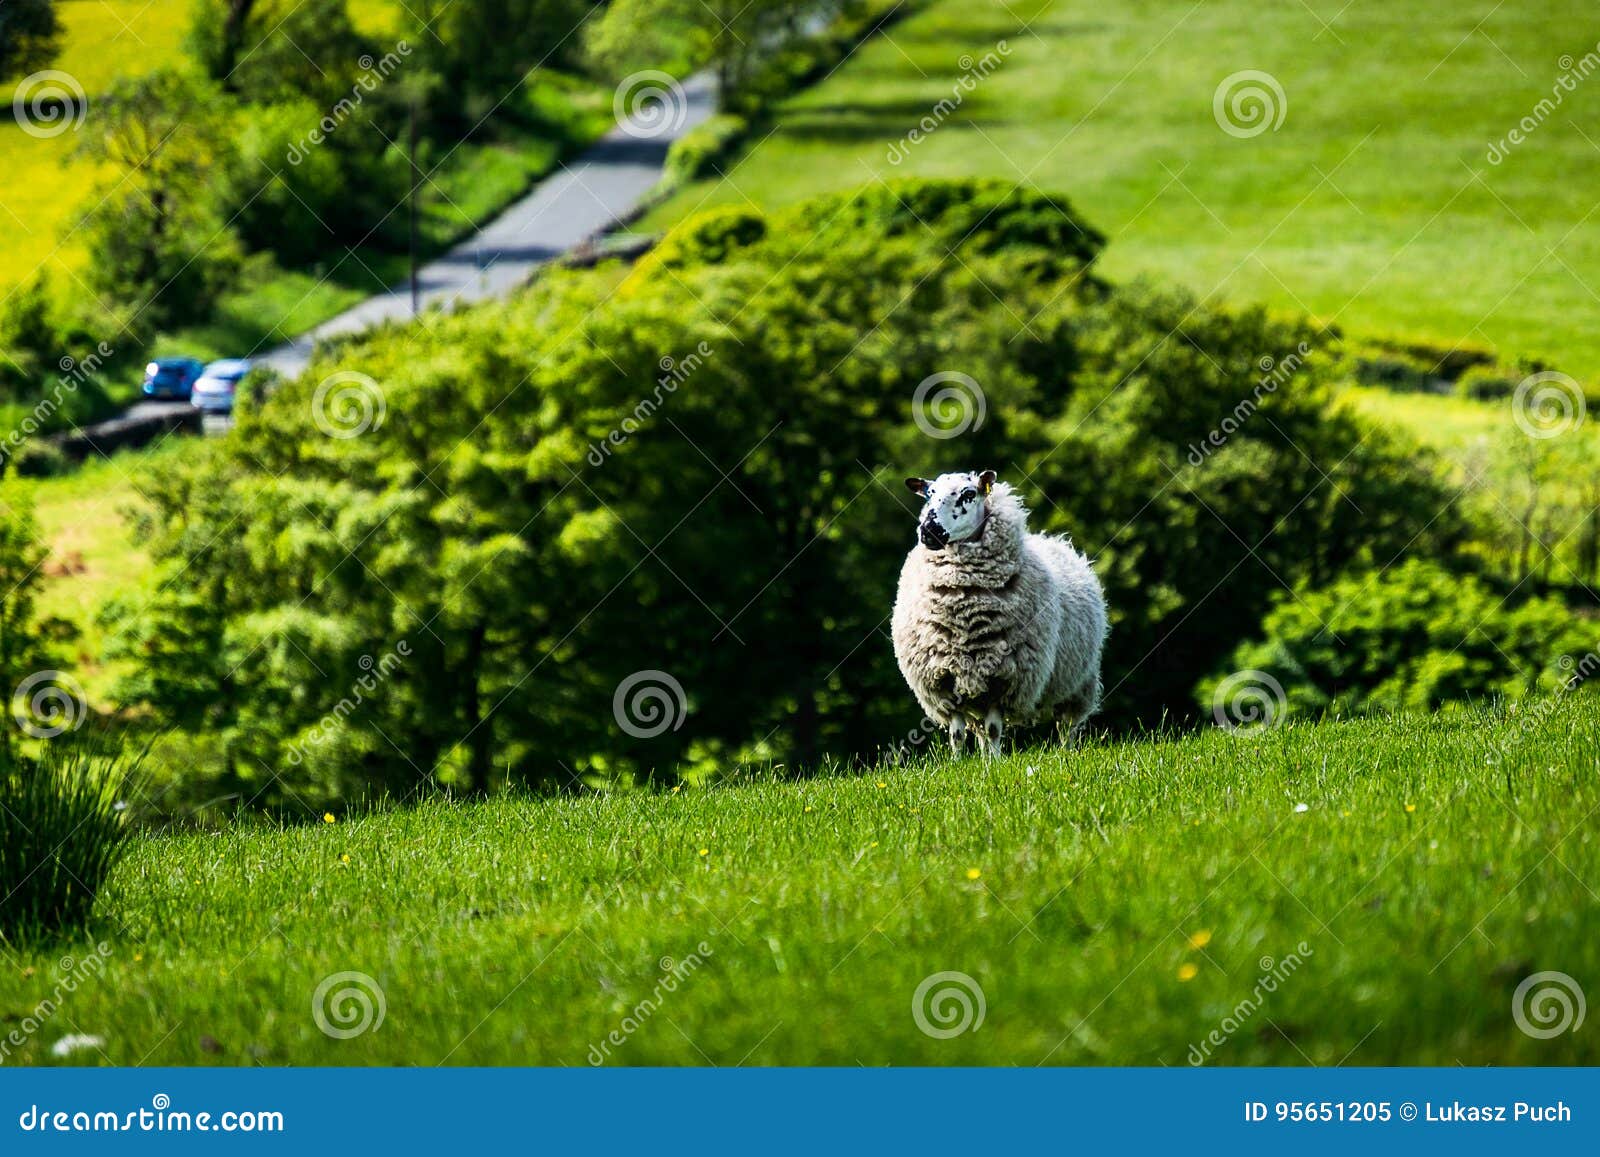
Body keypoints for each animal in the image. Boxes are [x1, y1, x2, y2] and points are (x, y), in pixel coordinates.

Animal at [891, 470, 1107, 755]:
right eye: (929, 494)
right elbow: (957, 735)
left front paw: (995, 763)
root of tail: (1057, 541)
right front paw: (959, 762)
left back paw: (1065, 753)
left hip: (1078, 684)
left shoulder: (1003, 678)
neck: (963, 612)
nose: (929, 531)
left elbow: (994, 729)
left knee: (1067, 726)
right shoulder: (944, 679)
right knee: (982, 732)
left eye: (968, 494)